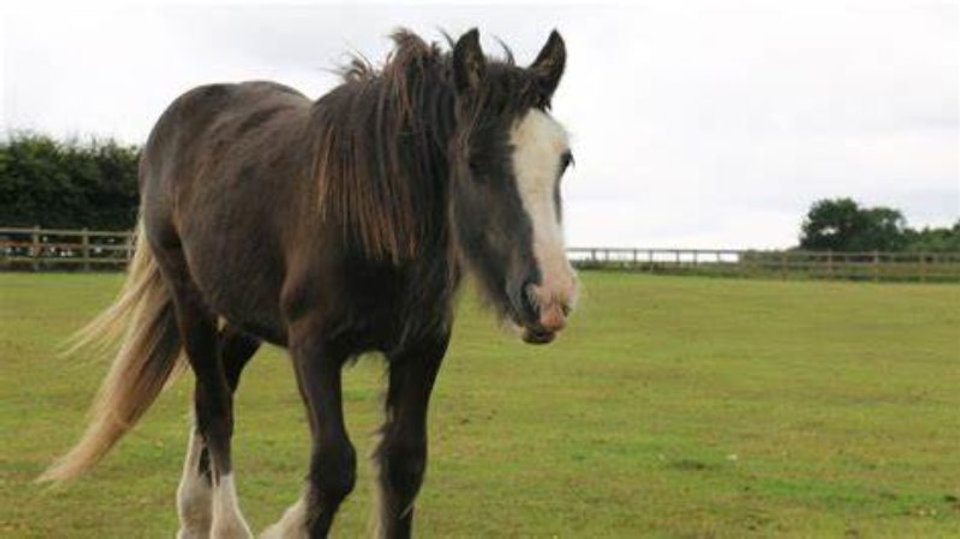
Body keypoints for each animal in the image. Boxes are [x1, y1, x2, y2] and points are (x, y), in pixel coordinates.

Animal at [39, 28, 578, 538]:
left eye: (564, 159)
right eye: (473, 159)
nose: (549, 296)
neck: (372, 217)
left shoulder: (422, 348)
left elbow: (404, 466)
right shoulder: (313, 346)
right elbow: (333, 467)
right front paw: (287, 527)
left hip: (247, 313)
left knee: (216, 386)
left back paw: (194, 514)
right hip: (188, 294)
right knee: (215, 405)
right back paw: (222, 525)